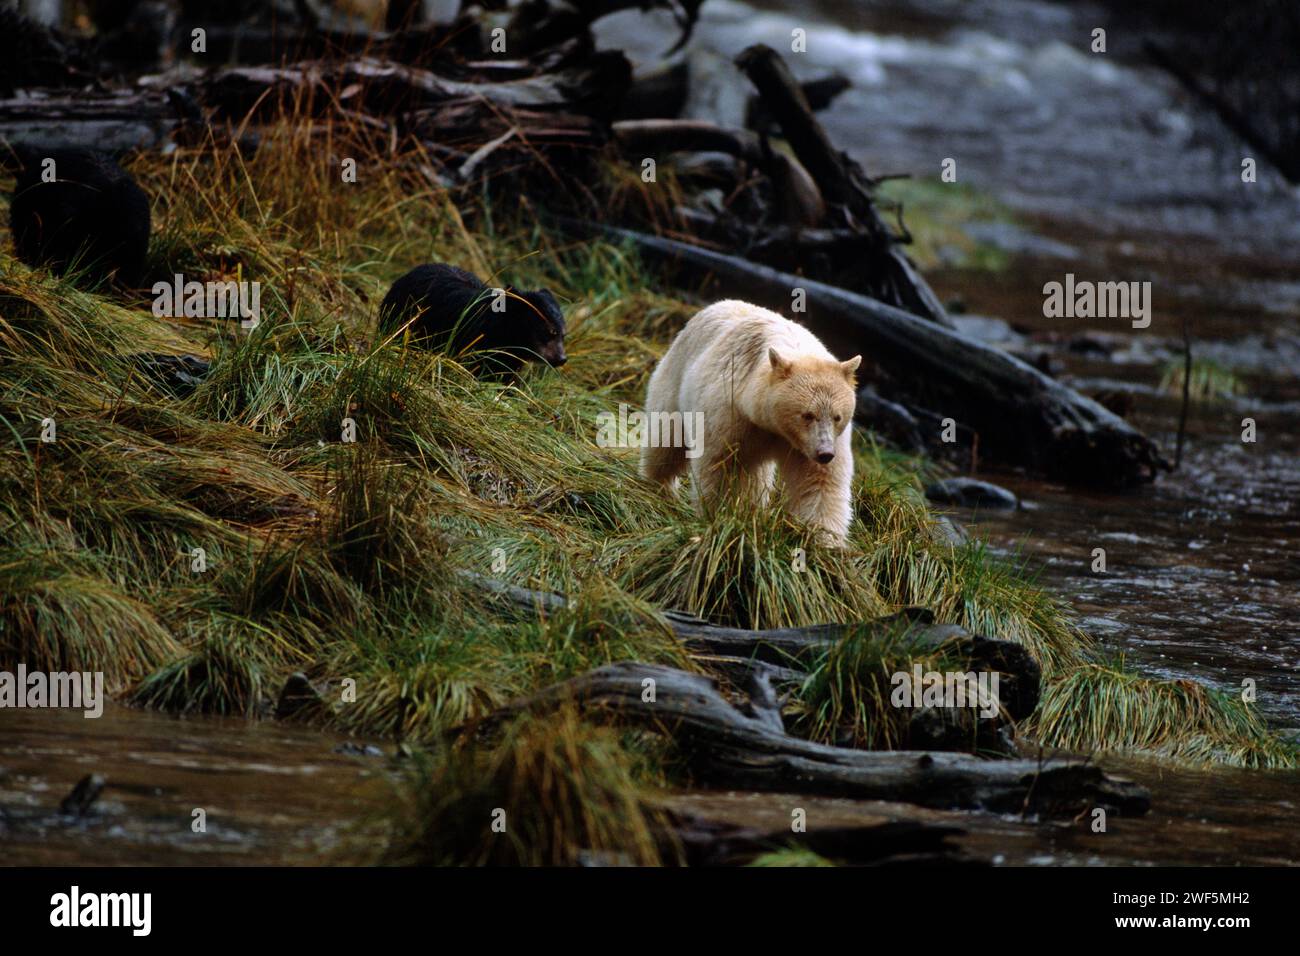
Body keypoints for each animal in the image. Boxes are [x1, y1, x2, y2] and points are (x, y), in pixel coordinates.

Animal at [641, 299, 861, 543]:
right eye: (807, 415)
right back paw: (657, 488)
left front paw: (822, 541)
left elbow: (819, 482)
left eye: (837, 416)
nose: (825, 454)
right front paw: (722, 518)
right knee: (666, 443)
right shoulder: (731, 412)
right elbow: (719, 465)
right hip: (675, 378)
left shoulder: (817, 443)